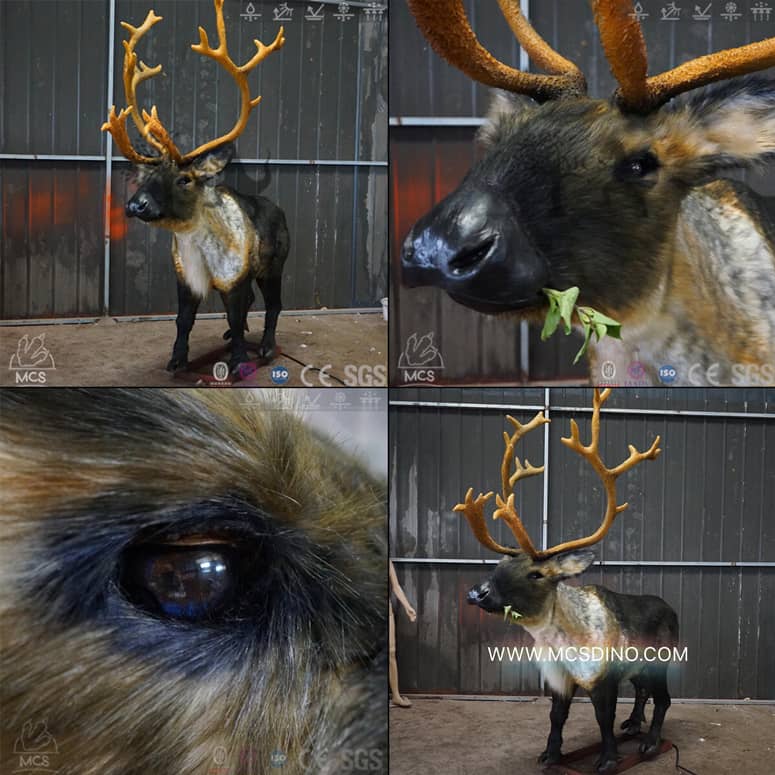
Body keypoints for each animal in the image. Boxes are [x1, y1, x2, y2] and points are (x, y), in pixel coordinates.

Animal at [102, 0, 290, 374]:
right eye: (146, 175)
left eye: (184, 178)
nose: (136, 205)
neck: (199, 251)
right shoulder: (184, 279)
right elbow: (183, 320)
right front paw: (176, 360)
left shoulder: (236, 277)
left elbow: (237, 316)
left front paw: (238, 362)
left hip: (275, 264)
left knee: (274, 304)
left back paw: (264, 347)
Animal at [454, 389, 678, 772]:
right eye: (500, 562)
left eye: (536, 573)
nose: (476, 592)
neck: (561, 641)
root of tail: (674, 610)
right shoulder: (557, 678)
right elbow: (556, 716)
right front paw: (550, 754)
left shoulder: (602, 677)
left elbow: (603, 718)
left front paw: (607, 760)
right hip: (638, 667)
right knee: (643, 692)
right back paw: (633, 725)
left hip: (659, 659)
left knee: (662, 698)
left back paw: (649, 743)